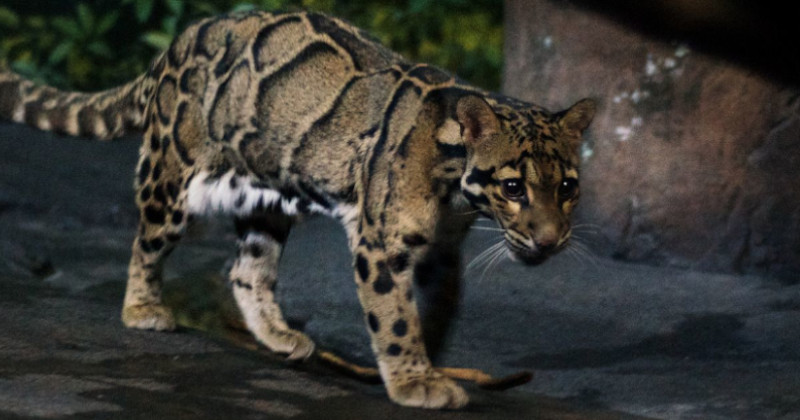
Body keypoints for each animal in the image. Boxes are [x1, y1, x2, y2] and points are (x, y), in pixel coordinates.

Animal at [0, 10, 594, 409]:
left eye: (568, 186)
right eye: (514, 187)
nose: (549, 240)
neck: (453, 189)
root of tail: (178, 43)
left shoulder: (441, 250)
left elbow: (436, 309)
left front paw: (426, 362)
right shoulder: (381, 244)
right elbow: (394, 314)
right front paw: (412, 378)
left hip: (263, 198)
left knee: (245, 270)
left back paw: (278, 334)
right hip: (172, 174)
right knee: (146, 242)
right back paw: (143, 307)